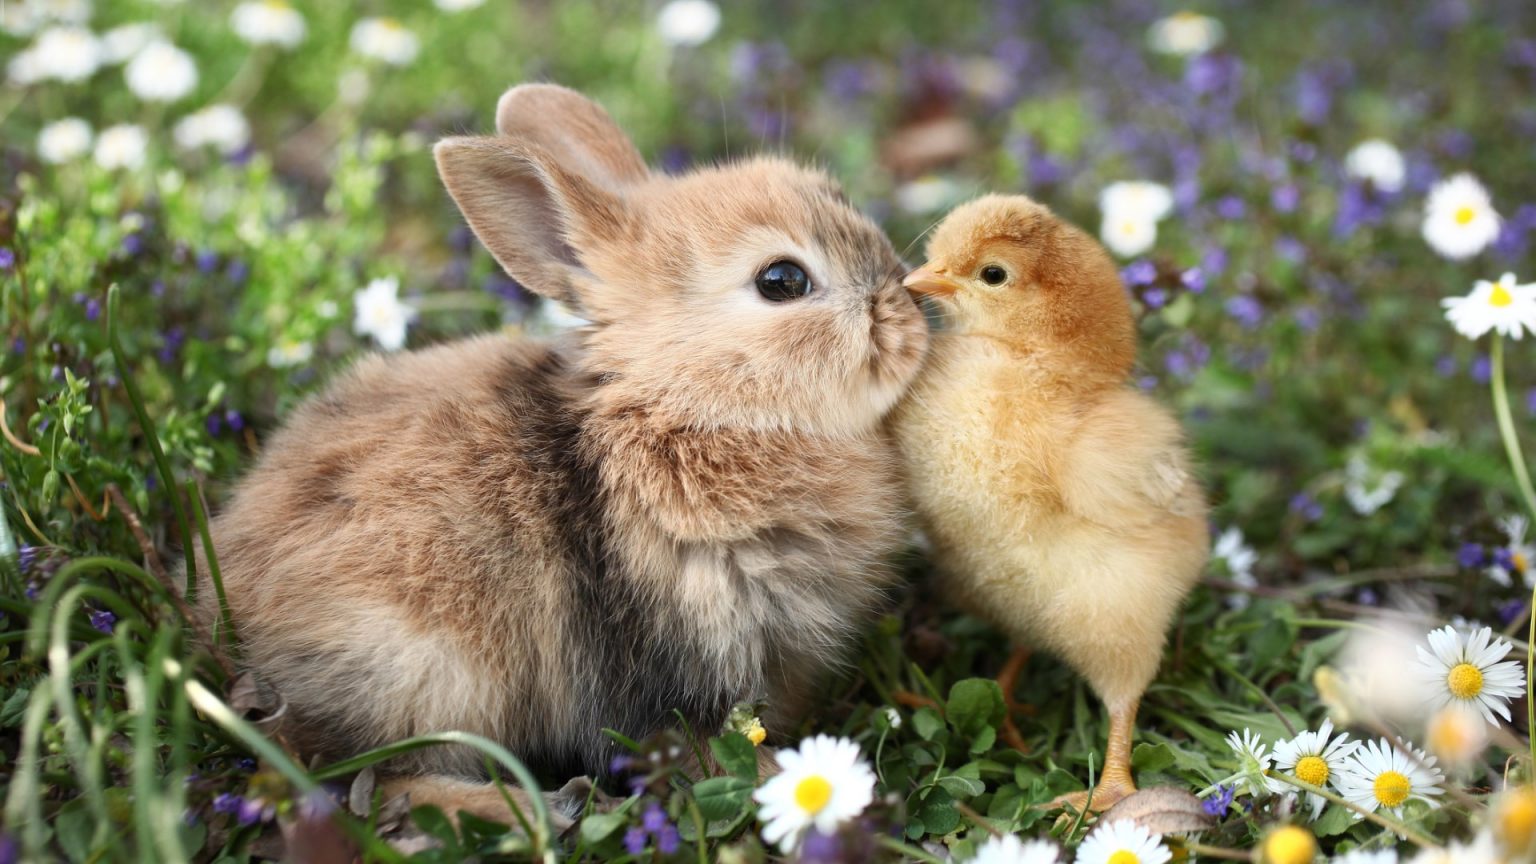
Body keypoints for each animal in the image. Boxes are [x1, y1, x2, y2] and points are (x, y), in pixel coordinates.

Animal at [196, 83, 929, 822]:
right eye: (782, 280)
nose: (908, 306)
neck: (684, 406)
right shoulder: (665, 662)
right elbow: (692, 744)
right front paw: (791, 780)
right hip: (423, 668)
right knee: (375, 781)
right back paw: (539, 807)